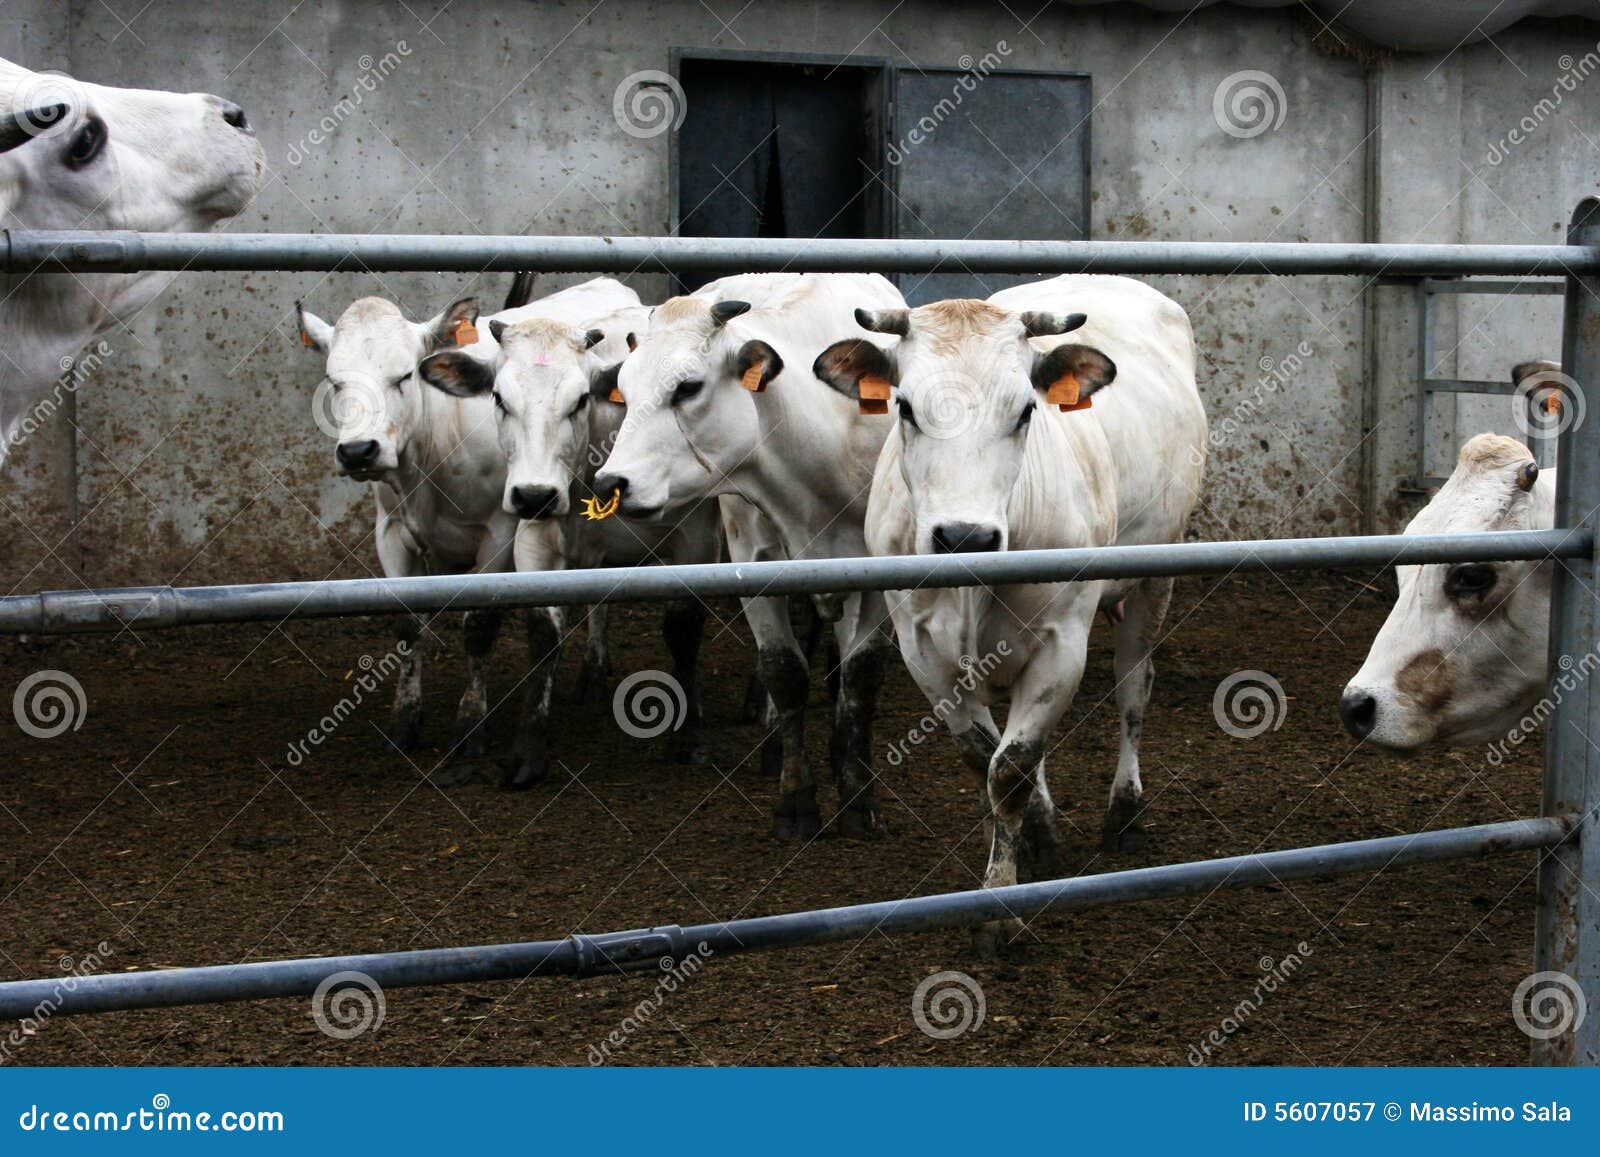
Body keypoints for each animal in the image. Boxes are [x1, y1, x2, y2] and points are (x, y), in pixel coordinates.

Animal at [294, 275, 638, 783]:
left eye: (404, 376)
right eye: (335, 382)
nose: (358, 452)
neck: (436, 441)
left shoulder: (499, 532)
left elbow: (478, 626)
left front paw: (472, 725)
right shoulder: (390, 531)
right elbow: (408, 625)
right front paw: (404, 721)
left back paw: (594, 674)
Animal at [416, 298, 726, 785]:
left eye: (580, 400)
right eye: (499, 398)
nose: (535, 495)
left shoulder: (697, 539)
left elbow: (684, 629)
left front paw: (689, 738)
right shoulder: (533, 542)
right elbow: (544, 635)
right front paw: (527, 754)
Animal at [593, 273, 908, 839]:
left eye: (687, 387)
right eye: (624, 390)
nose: (610, 483)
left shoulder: (880, 572)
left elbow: (861, 674)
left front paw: (857, 799)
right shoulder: (756, 566)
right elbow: (784, 671)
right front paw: (795, 803)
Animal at [813, 274, 1207, 949]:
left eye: (1025, 410)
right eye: (904, 407)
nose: (964, 537)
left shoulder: (1062, 642)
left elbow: (1012, 768)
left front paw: (1001, 909)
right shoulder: (922, 649)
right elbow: (986, 759)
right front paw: (1019, 853)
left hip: (1156, 574)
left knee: (1133, 687)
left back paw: (1125, 811)